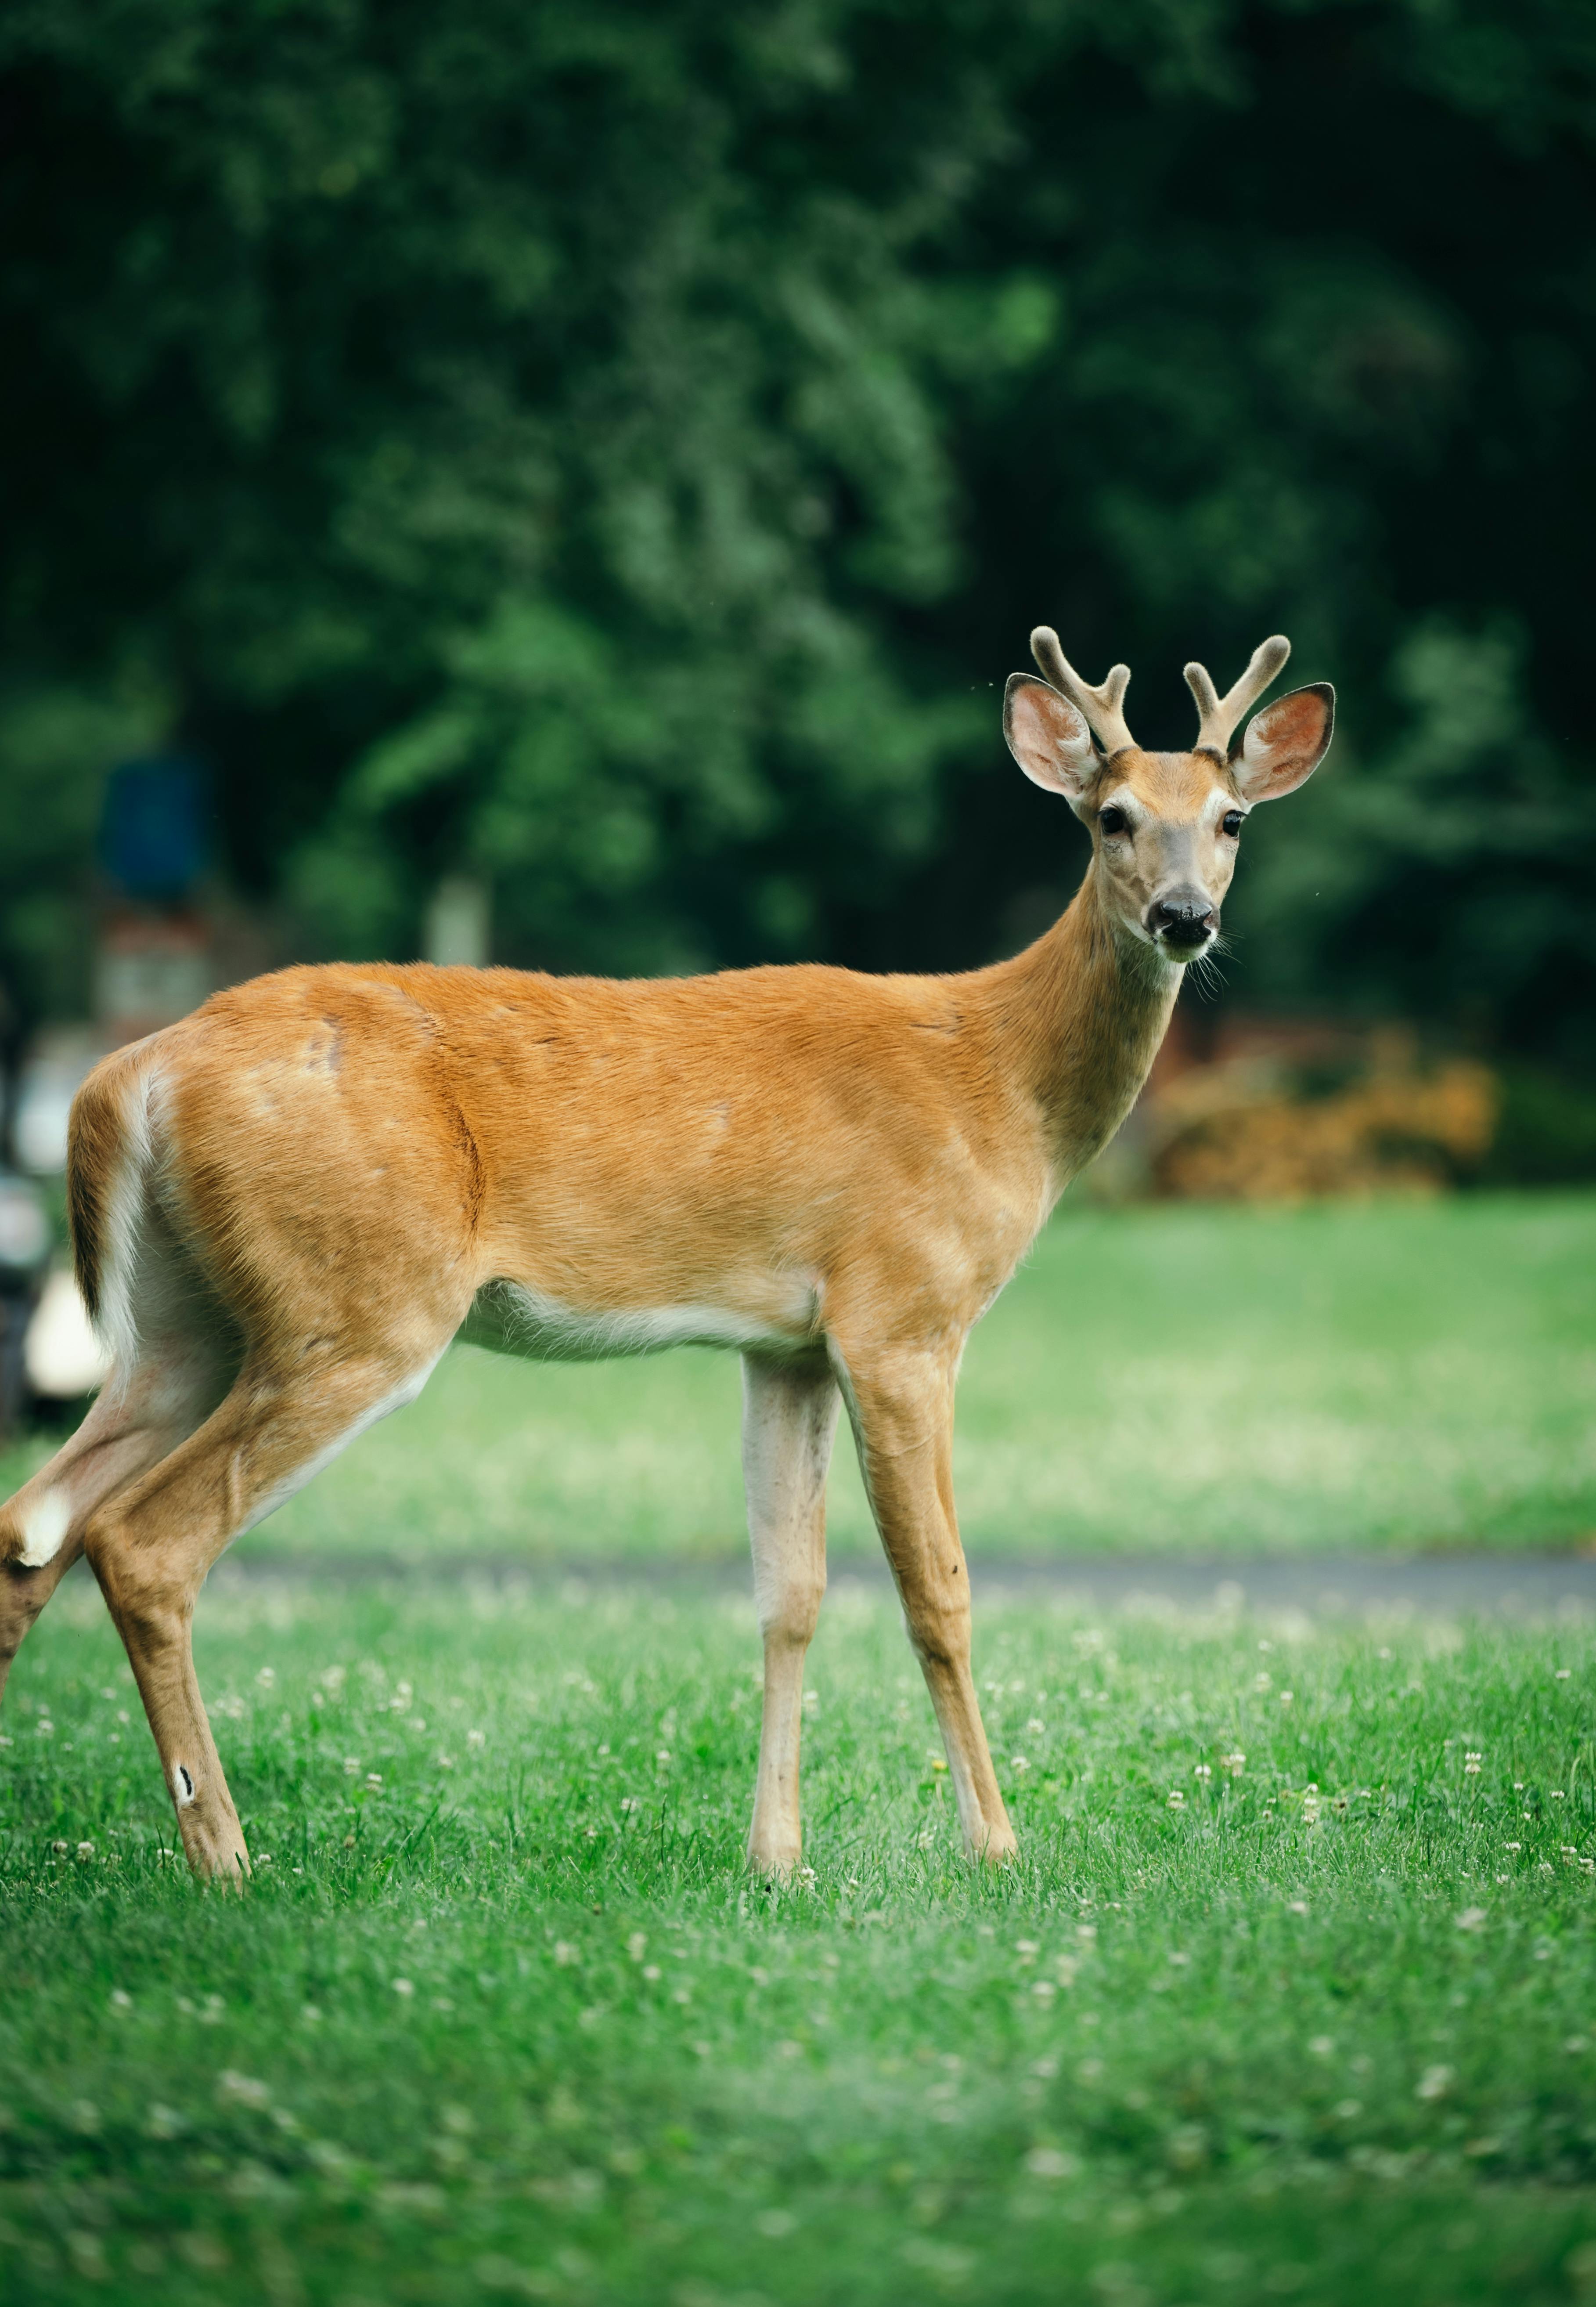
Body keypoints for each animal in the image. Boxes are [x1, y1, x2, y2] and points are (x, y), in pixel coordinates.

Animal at [0, 630, 1332, 1884]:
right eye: (1112, 817)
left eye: (1230, 819)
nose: (1185, 917)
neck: (998, 1075)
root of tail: (131, 1072)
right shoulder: (901, 1311)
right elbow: (937, 1590)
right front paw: (994, 1846)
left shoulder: (785, 1342)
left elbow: (788, 1592)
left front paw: (776, 1857)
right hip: (356, 1298)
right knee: (143, 1541)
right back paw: (224, 1855)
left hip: (184, 1321)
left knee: (36, 1520)